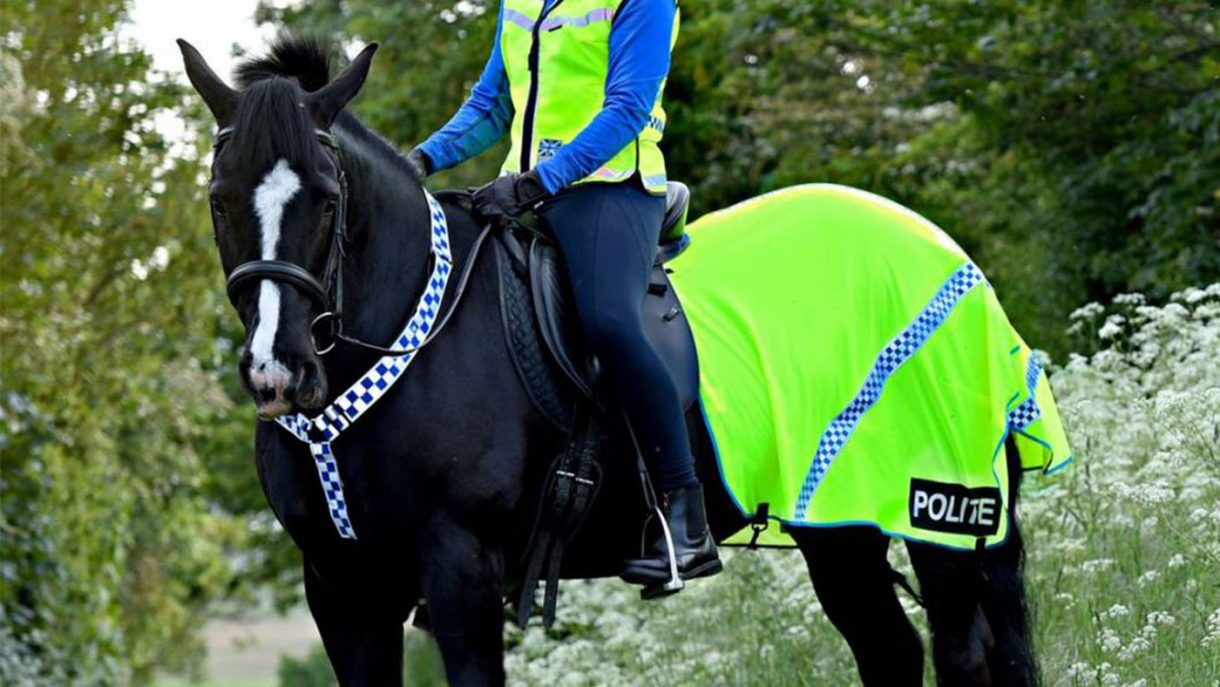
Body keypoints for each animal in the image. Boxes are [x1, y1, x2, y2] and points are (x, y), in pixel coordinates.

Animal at [178, 37, 1043, 686]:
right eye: (219, 198)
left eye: (327, 199)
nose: (277, 372)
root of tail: (943, 249)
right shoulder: (342, 589)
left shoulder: (460, 575)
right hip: (839, 525)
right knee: (890, 649)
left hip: (933, 515)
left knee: (961, 650)